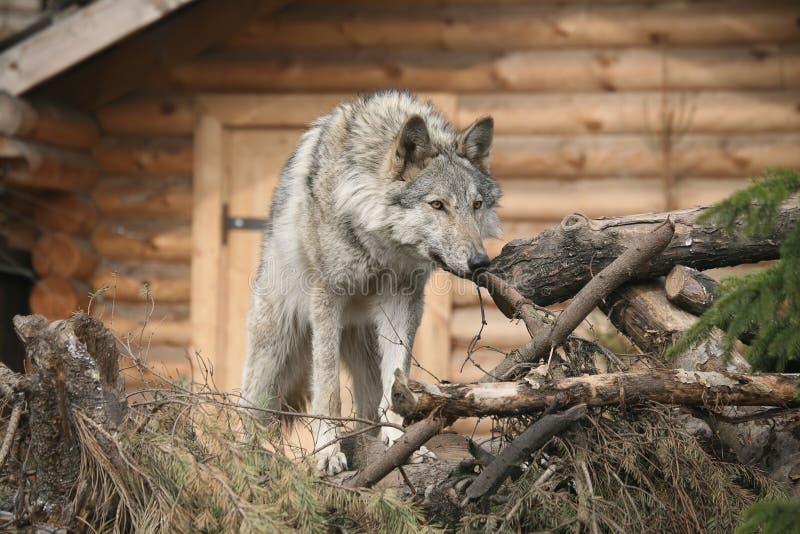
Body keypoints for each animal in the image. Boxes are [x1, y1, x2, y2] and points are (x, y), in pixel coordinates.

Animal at [240, 90, 501, 475]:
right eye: (438, 205)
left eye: (476, 205)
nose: (480, 263)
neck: (379, 246)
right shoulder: (327, 298)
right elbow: (328, 389)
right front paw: (327, 453)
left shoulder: (403, 301)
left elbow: (398, 378)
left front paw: (401, 442)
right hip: (273, 356)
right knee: (246, 414)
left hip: (364, 354)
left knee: (368, 408)